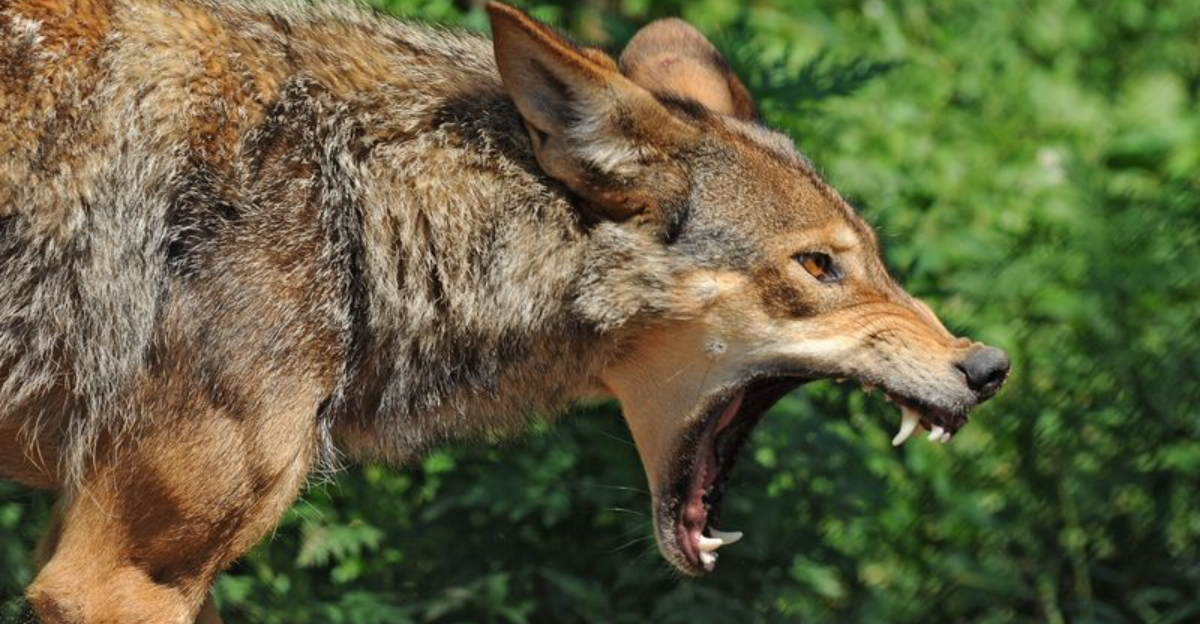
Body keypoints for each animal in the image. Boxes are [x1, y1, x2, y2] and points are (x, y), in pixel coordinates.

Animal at [0, 0, 1010, 621]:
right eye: (818, 266)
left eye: (873, 256)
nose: (988, 367)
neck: (362, 209)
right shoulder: (114, 578)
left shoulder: (106, 553)